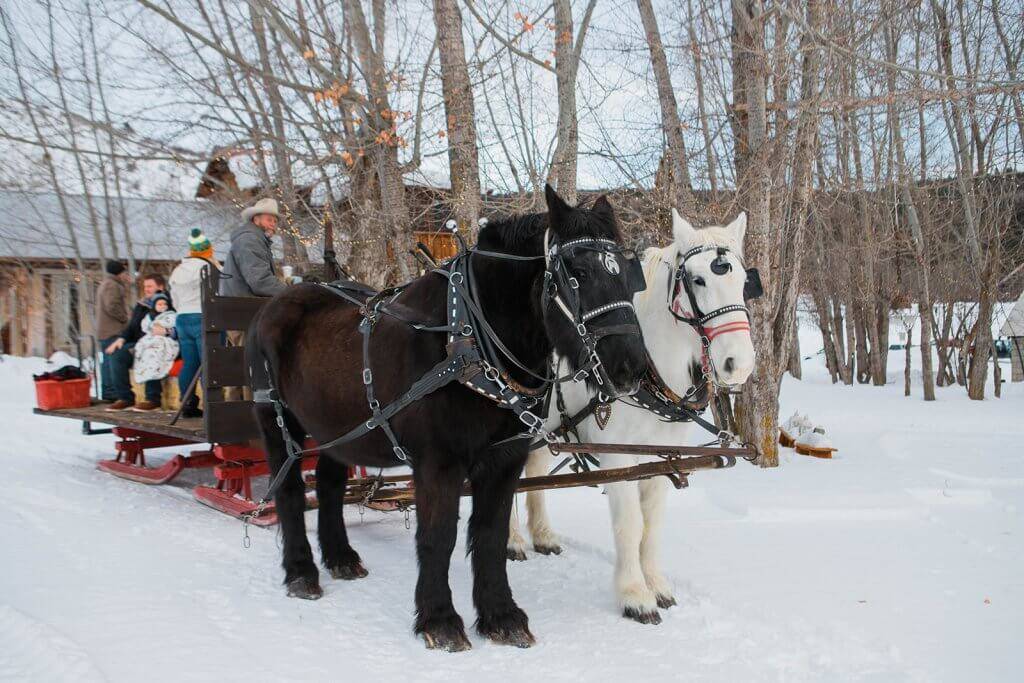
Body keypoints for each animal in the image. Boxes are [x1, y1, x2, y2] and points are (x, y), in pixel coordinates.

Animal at [246, 185, 643, 651]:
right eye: (576, 272)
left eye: (627, 274)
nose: (631, 367)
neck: (467, 338)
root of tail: (277, 302)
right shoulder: (439, 462)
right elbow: (438, 537)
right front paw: (439, 621)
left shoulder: (505, 459)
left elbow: (490, 535)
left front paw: (501, 616)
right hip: (277, 421)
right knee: (290, 491)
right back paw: (301, 572)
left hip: (337, 427)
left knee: (328, 484)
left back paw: (341, 557)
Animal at [507, 208, 757, 626]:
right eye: (699, 279)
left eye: (742, 281)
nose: (738, 363)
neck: (649, 377)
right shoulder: (618, 458)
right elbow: (630, 524)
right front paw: (634, 596)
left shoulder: (661, 457)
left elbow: (652, 524)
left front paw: (657, 585)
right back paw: (511, 540)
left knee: (536, 467)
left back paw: (542, 534)